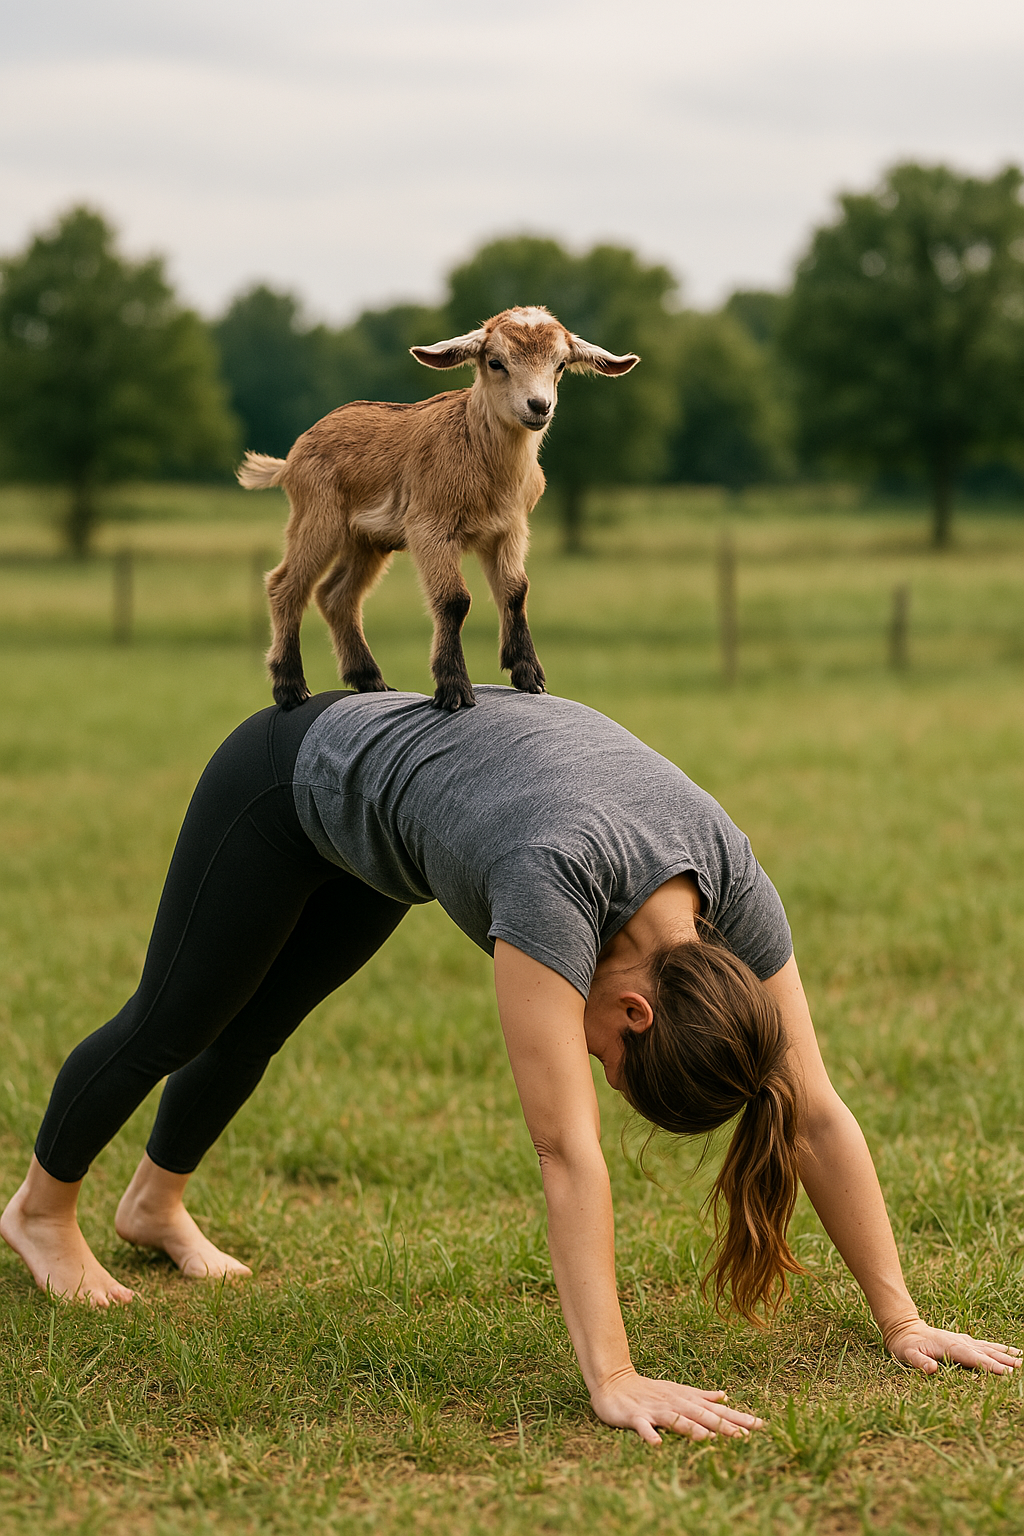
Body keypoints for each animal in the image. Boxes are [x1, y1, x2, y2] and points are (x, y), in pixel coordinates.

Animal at [237, 306, 639, 711]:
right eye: (495, 362)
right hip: (318, 515)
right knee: (285, 586)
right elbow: (454, 599)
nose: (539, 406)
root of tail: (290, 460)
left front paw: (529, 675)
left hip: (366, 539)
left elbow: (515, 590)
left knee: (336, 595)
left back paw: (369, 678)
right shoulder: (430, 527)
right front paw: (454, 688)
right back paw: (290, 686)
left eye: (560, 364)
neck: (484, 458)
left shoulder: (509, 530)